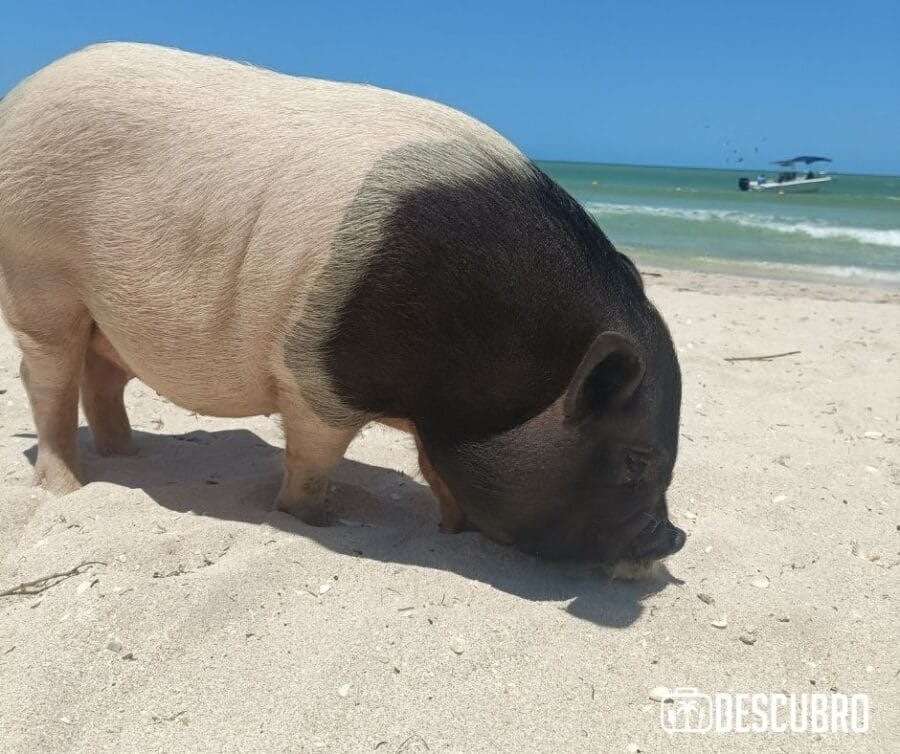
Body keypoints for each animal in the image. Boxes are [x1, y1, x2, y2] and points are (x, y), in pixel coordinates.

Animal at [0, 43, 685, 567]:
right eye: (637, 459)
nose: (674, 540)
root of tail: (20, 96)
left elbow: (439, 471)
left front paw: (453, 531)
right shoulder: (313, 378)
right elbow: (315, 458)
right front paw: (316, 521)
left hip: (102, 316)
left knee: (102, 377)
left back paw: (131, 456)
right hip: (40, 276)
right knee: (46, 378)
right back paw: (67, 489)